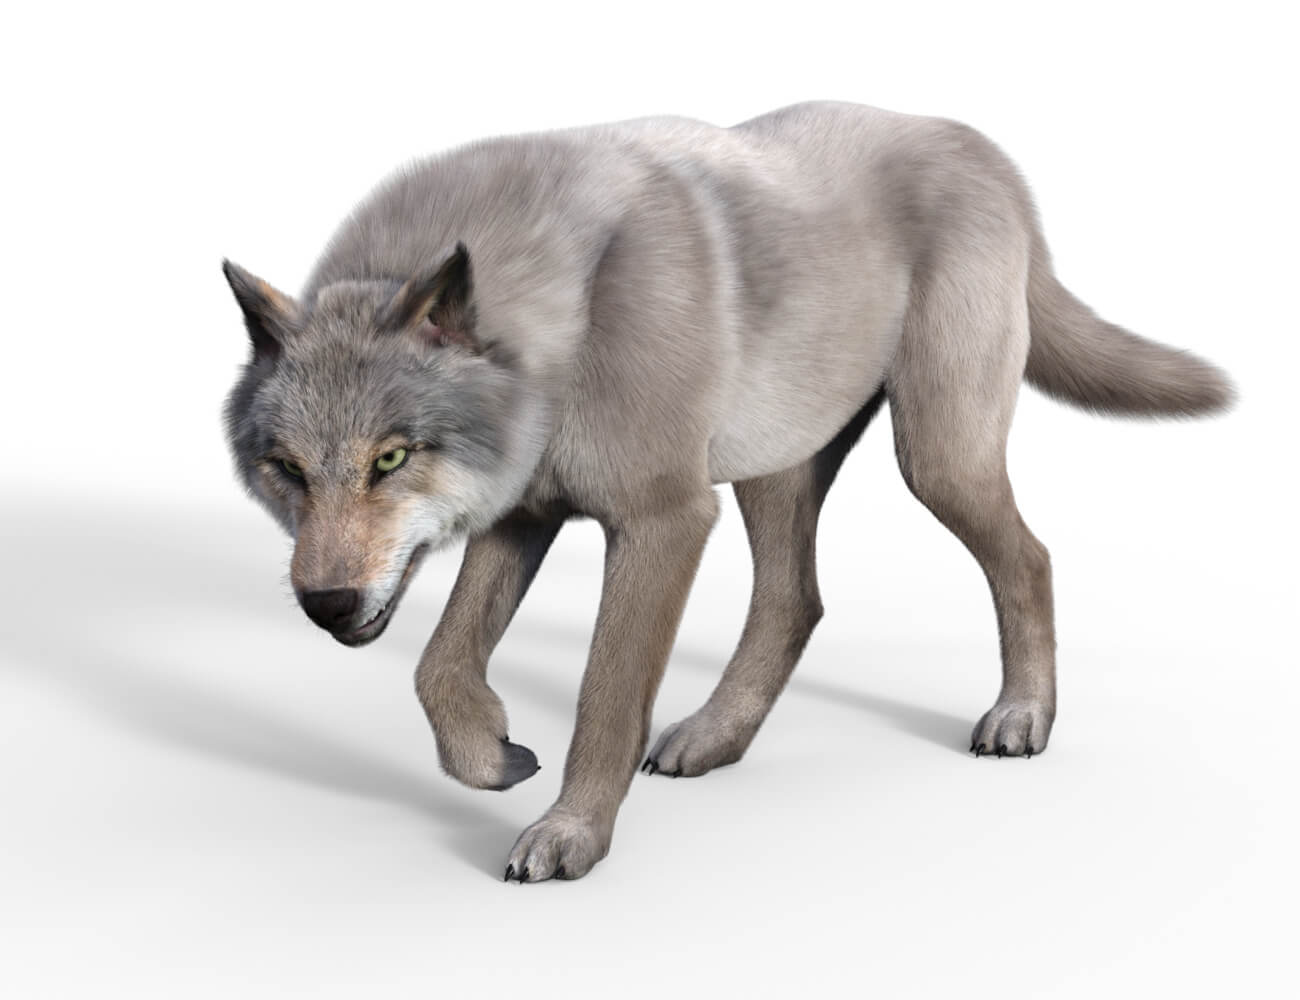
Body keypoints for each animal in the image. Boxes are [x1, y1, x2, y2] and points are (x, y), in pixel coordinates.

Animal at [222, 101, 1231, 882]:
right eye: (288, 470)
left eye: (392, 460)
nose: (325, 603)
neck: (566, 317)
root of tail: (976, 144)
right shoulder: (525, 515)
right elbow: (437, 667)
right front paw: (496, 759)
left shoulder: (663, 520)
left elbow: (604, 696)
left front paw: (569, 835)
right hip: (776, 467)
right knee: (795, 599)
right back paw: (714, 739)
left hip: (935, 456)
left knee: (1029, 557)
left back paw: (1021, 717)